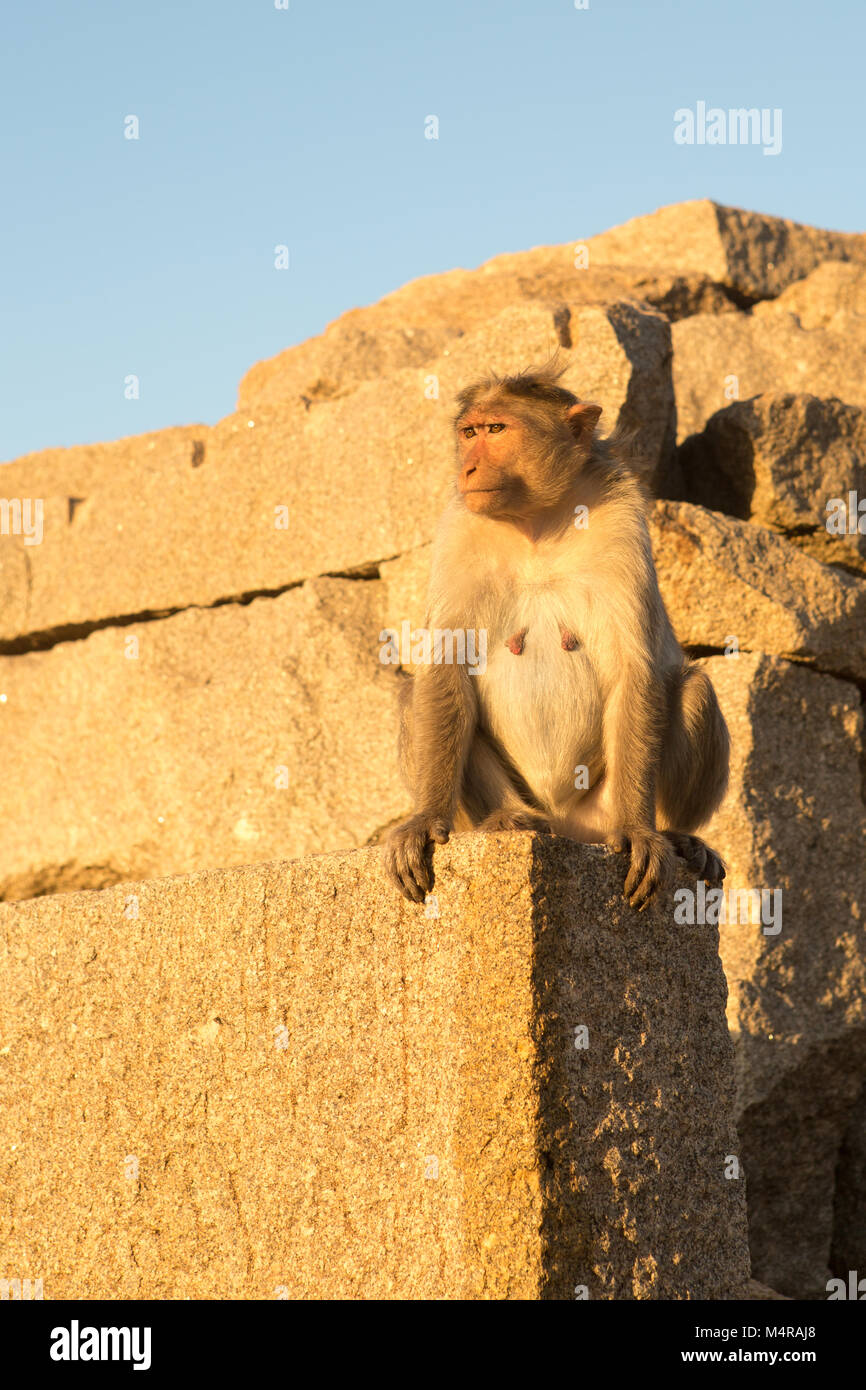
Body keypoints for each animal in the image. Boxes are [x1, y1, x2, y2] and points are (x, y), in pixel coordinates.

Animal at [384, 360, 730, 911]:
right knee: (412, 696)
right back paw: (508, 818)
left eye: (496, 429)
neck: (536, 524)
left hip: (601, 812)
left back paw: (677, 835)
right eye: (469, 434)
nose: (468, 470)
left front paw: (640, 831)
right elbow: (446, 669)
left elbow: (634, 666)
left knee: (695, 688)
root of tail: (568, 825)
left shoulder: (620, 521)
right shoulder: (458, 529)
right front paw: (424, 820)